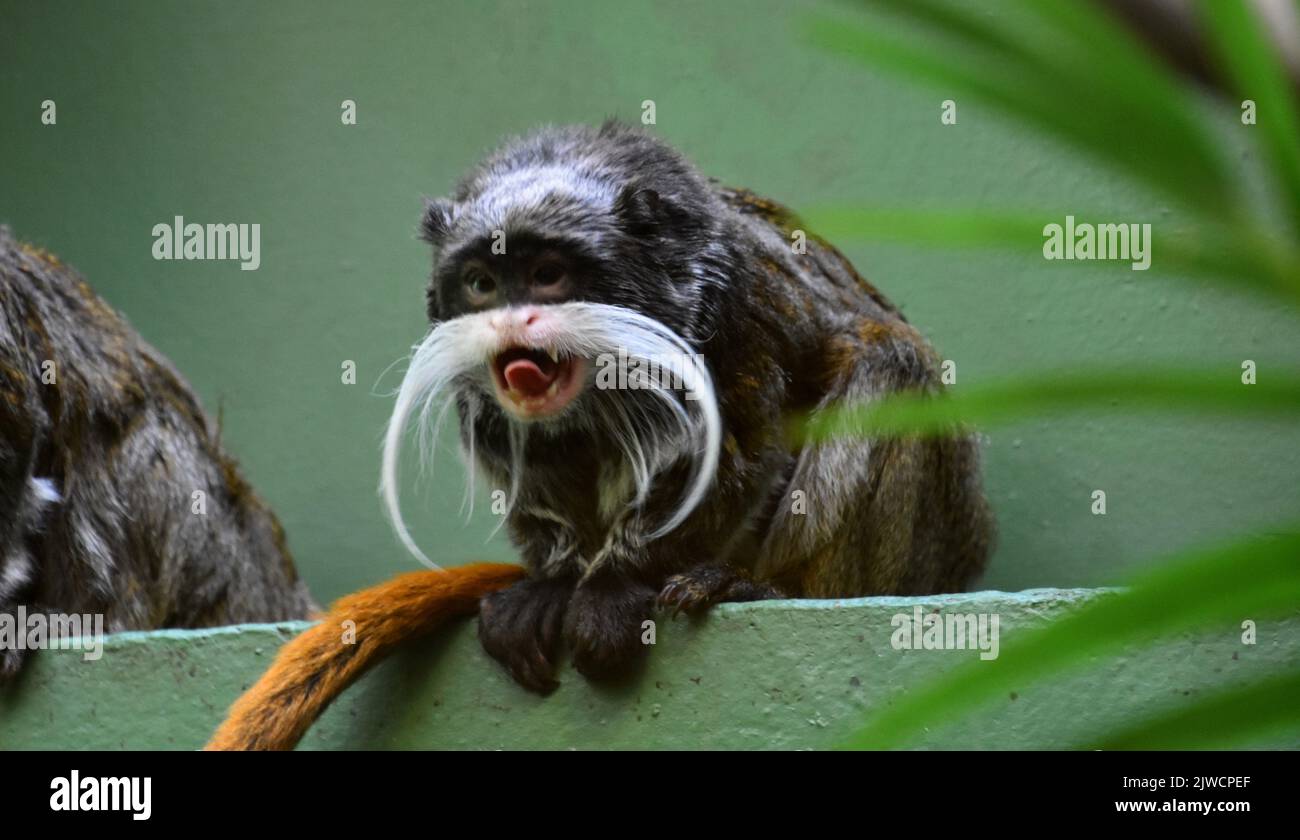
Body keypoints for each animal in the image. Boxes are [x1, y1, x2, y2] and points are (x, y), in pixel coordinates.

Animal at [207, 121, 993, 749]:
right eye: (483, 283)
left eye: (549, 275)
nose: (513, 322)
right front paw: (556, 584)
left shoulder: (731, 304)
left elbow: (745, 450)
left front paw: (617, 586)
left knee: (892, 366)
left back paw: (770, 589)